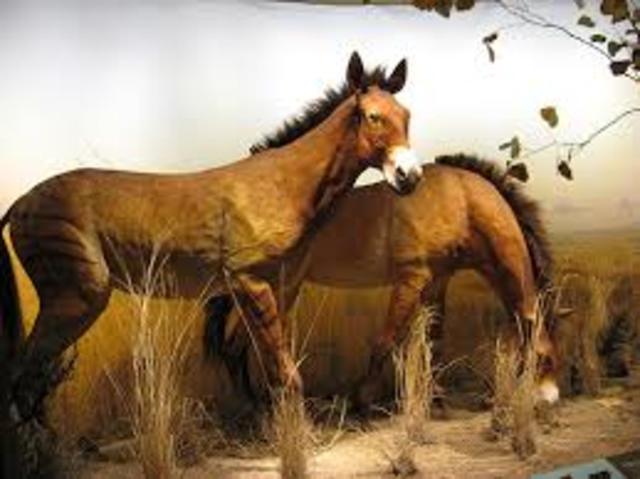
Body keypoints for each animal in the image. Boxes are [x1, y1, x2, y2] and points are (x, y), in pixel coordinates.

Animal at [0, 51, 422, 456]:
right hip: (77, 298)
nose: (410, 176)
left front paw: (266, 426)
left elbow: (258, 360)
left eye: (406, 116)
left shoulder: (279, 288)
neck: (283, 186)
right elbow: (281, 371)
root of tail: (20, 203)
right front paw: (294, 441)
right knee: (23, 376)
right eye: (372, 117)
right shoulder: (249, 283)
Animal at [207, 154, 570, 411]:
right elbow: (387, 339)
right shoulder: (412, 277)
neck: (462, 201)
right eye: (545, 358)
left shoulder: (438, 280)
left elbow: (434, 339)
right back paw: (257, 408)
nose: (550, 399)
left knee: (237, 345)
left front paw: (434, 396)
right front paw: (360, 399)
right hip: (281, 289)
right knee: (238, 344)